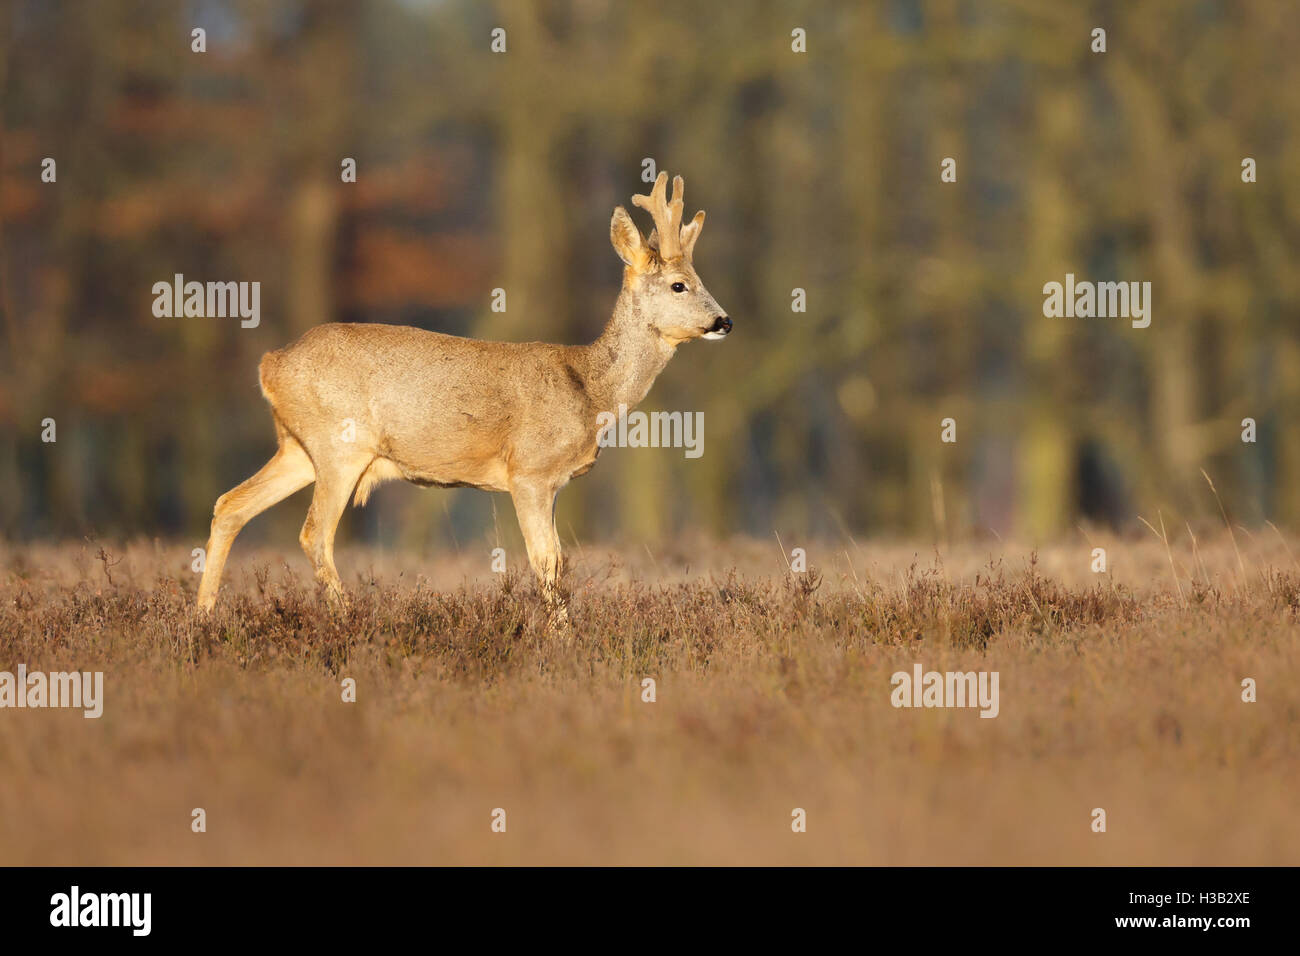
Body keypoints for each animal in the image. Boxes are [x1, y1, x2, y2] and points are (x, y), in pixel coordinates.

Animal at [195, 172, 731, 625]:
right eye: (679, 285)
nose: (724, 320)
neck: (589, 389)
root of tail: (271, 365)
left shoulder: (553, 482)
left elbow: (557, 562)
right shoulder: (529, 471)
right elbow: (548, 563)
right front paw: (563, 640)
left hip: (298, 448)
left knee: (230, 504)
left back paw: (202, 619)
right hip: (338, 445)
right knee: (313, 533)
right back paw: (347, 619)